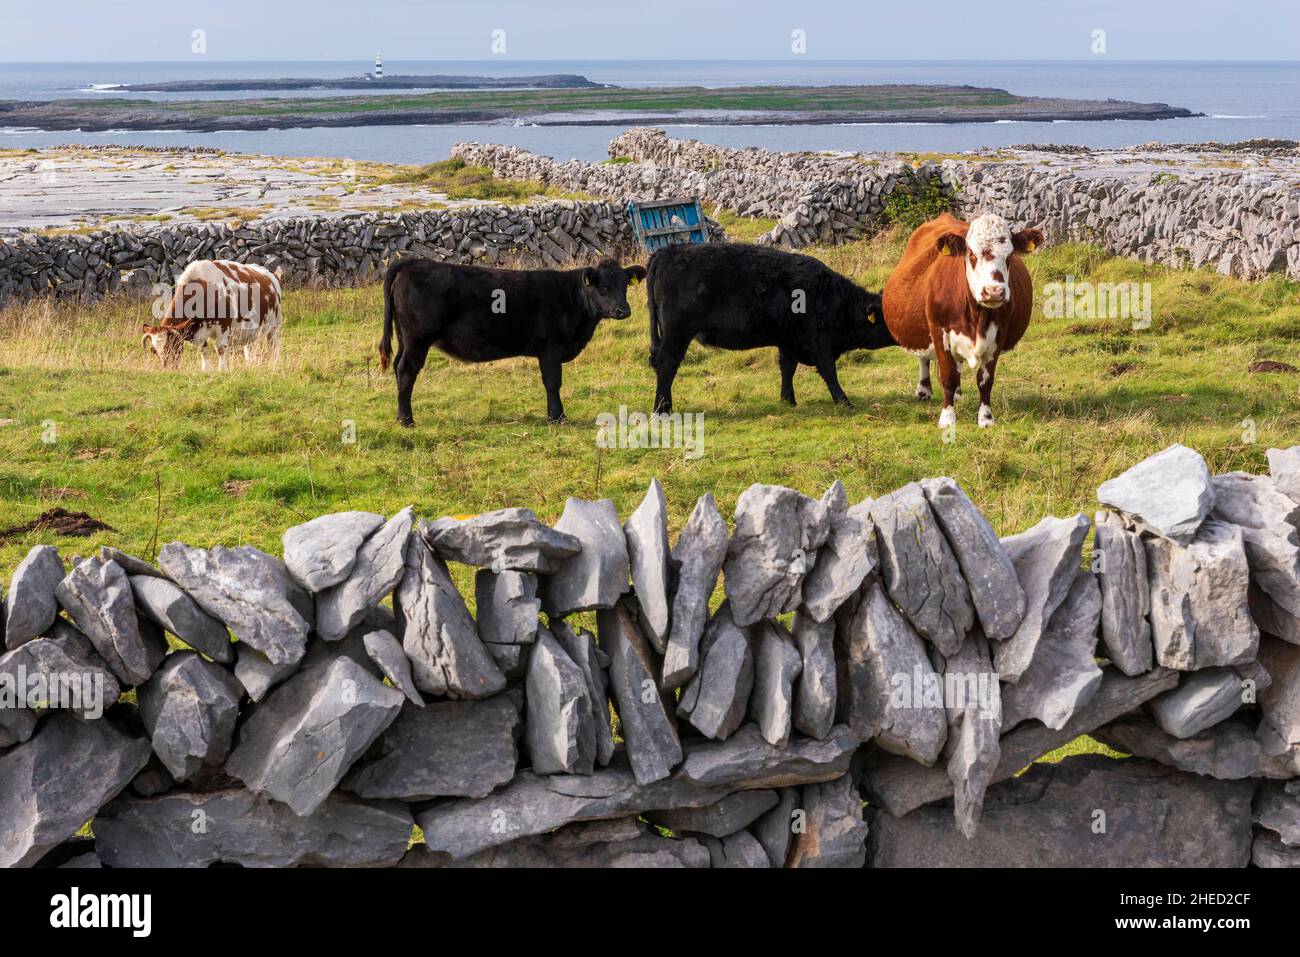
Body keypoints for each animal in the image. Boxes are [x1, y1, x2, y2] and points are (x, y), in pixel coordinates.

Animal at [141, 260, 282, 371]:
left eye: (174, 346)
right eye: (154, 350)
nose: (167, 369)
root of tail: (272, 275)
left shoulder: (223, 327)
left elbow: (220, 349)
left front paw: (222, 370)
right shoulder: (198, 331)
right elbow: (202, 350)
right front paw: (205, 369)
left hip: (275, 327)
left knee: (274, 348)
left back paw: (273, 365)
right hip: (249, 330)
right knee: (249, 348)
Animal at [378, 257, 647, 427]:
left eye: (625, 285)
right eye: (604, 287)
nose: (623, 310)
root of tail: (413, 262)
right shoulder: (551, 348)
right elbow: (553, 383)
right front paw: (557, 417)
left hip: (404, 339)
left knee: (398, 368)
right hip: (418, 339)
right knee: (406, 371)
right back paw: (407, 420)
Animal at [646, 243, 893, 414]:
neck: (832, 297)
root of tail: (668, 250)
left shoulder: (788, 340)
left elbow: (787, 368)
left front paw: (788, 400)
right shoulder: (818, 340)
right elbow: (828, 371)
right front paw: (844, 401)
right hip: (676, 335)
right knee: (667, 364)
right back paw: (662, 408)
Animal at [881, 212, 1043, 429]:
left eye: (1009, 256)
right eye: (972, 254)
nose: (994, 291)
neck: (977, 317)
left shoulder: (998, 335)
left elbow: (985, 380)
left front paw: (986, 418)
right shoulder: (939, 332)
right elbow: (948, 377)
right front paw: (947, 418)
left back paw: (957, 393)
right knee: (924, 358)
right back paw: (924, 390)